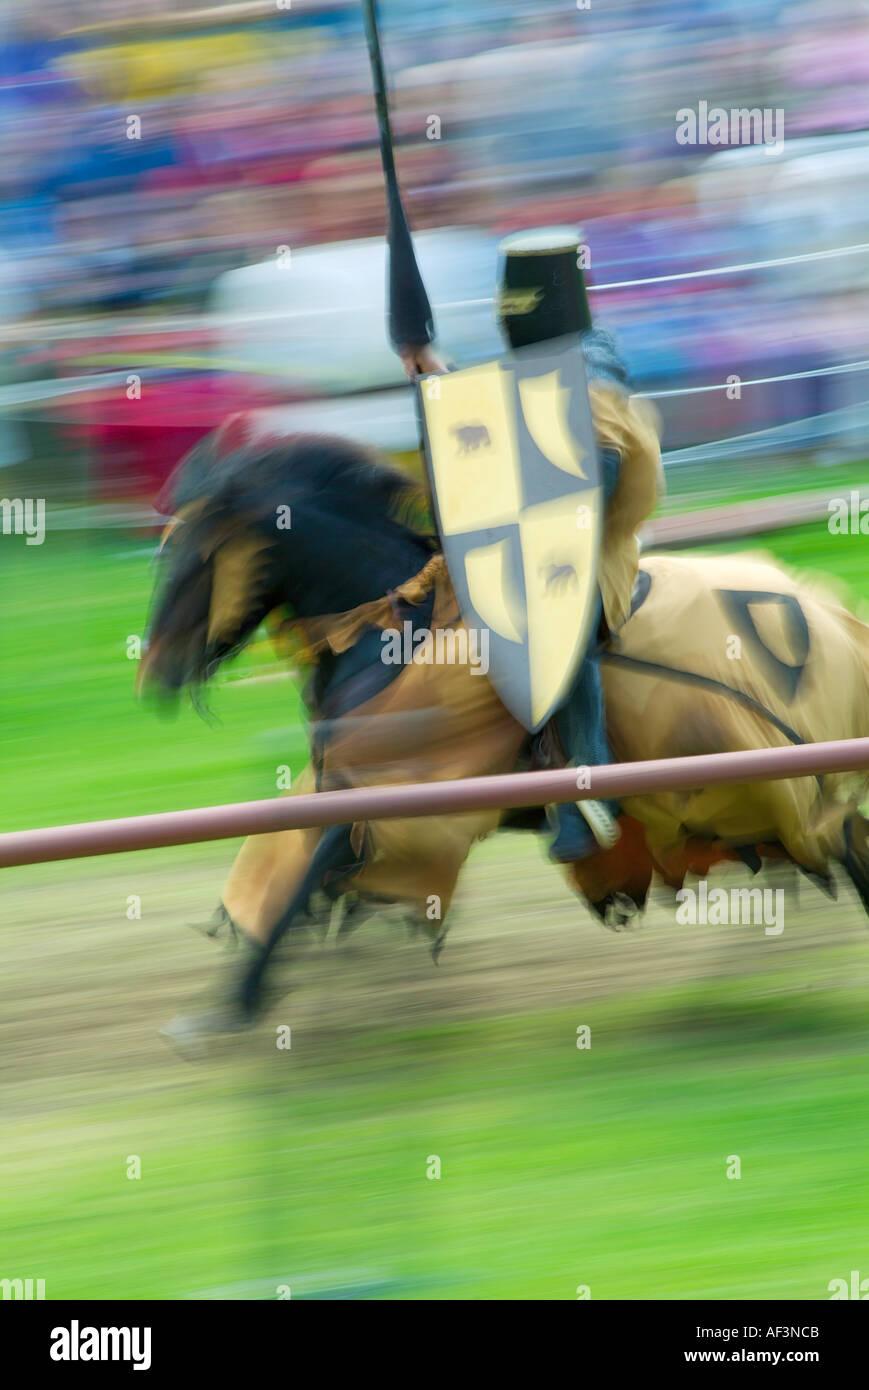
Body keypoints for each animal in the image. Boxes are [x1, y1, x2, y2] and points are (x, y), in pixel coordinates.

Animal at [140, 422, 869, 1045]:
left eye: (194, 559)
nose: (155, 675)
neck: (394, 635)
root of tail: (825, 613)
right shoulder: (345, 793)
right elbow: (309, 890)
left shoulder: (386, 801)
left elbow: (300, 892)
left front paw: (235, 1006)